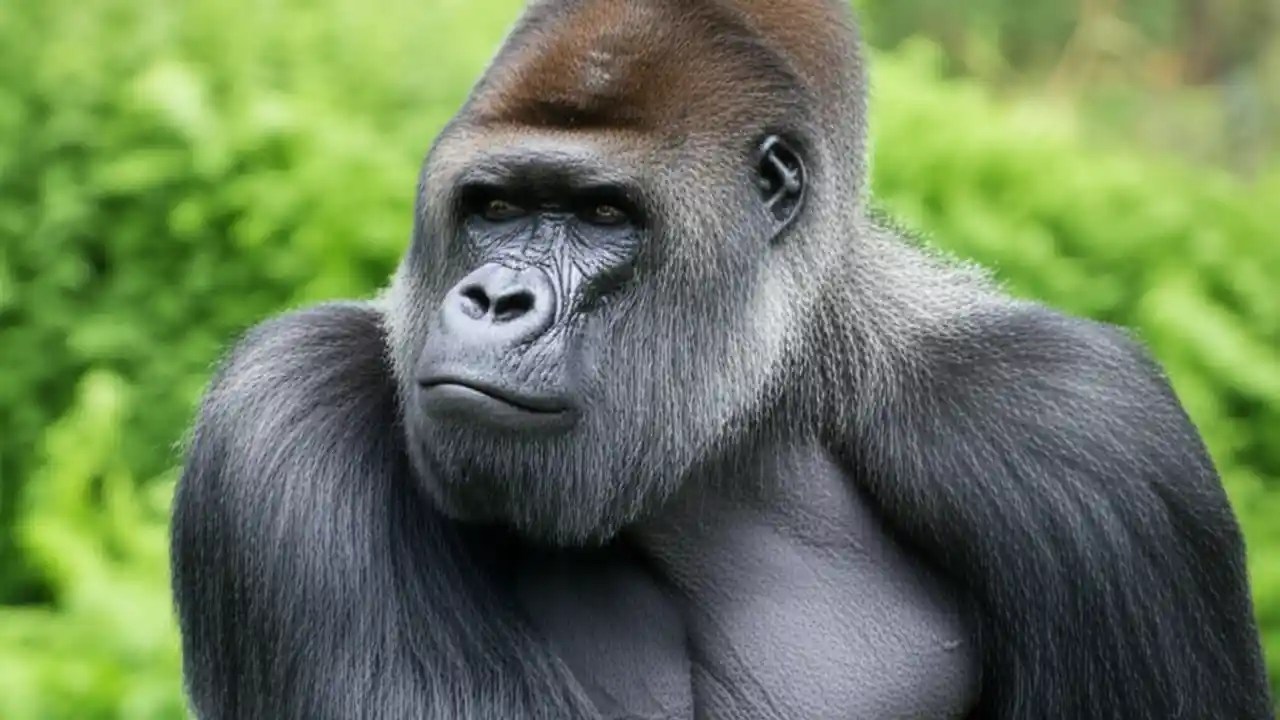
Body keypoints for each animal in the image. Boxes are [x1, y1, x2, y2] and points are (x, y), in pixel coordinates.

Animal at [171, 0, 1275, 718]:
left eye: (602, 215)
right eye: (494, 206)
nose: (493, 299)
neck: (757, 409)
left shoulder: (1078, 429)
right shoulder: (287, 404)